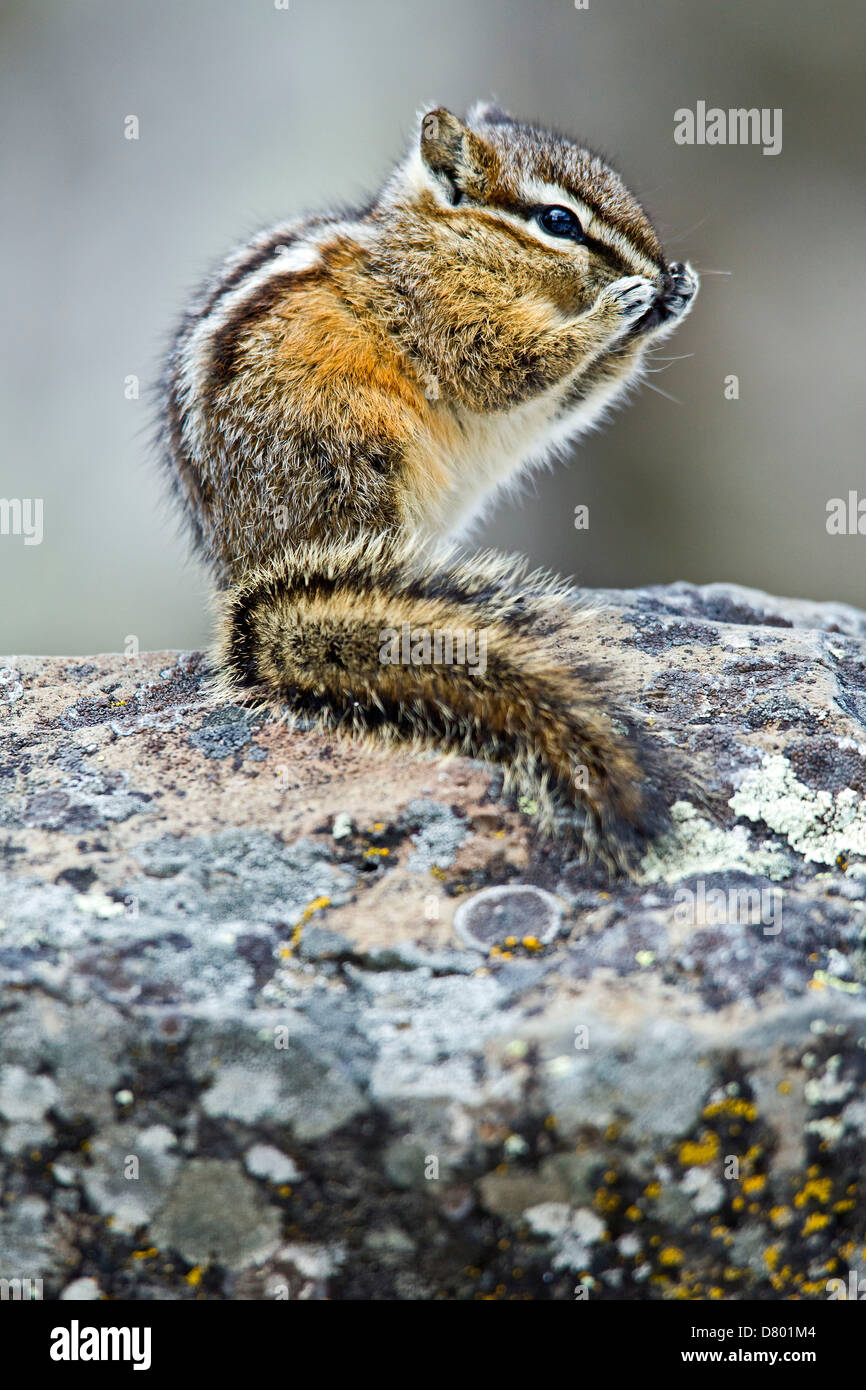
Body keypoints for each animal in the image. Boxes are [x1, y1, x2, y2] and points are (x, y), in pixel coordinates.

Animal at [159, 102, 699, 868]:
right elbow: (506, 368)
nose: (655, 267)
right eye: (558, 221)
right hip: (352, 448)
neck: (446, 238)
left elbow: (567, 393)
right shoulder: (444, 309)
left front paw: (673, 294)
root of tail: (249, 573)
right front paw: (616, 309)